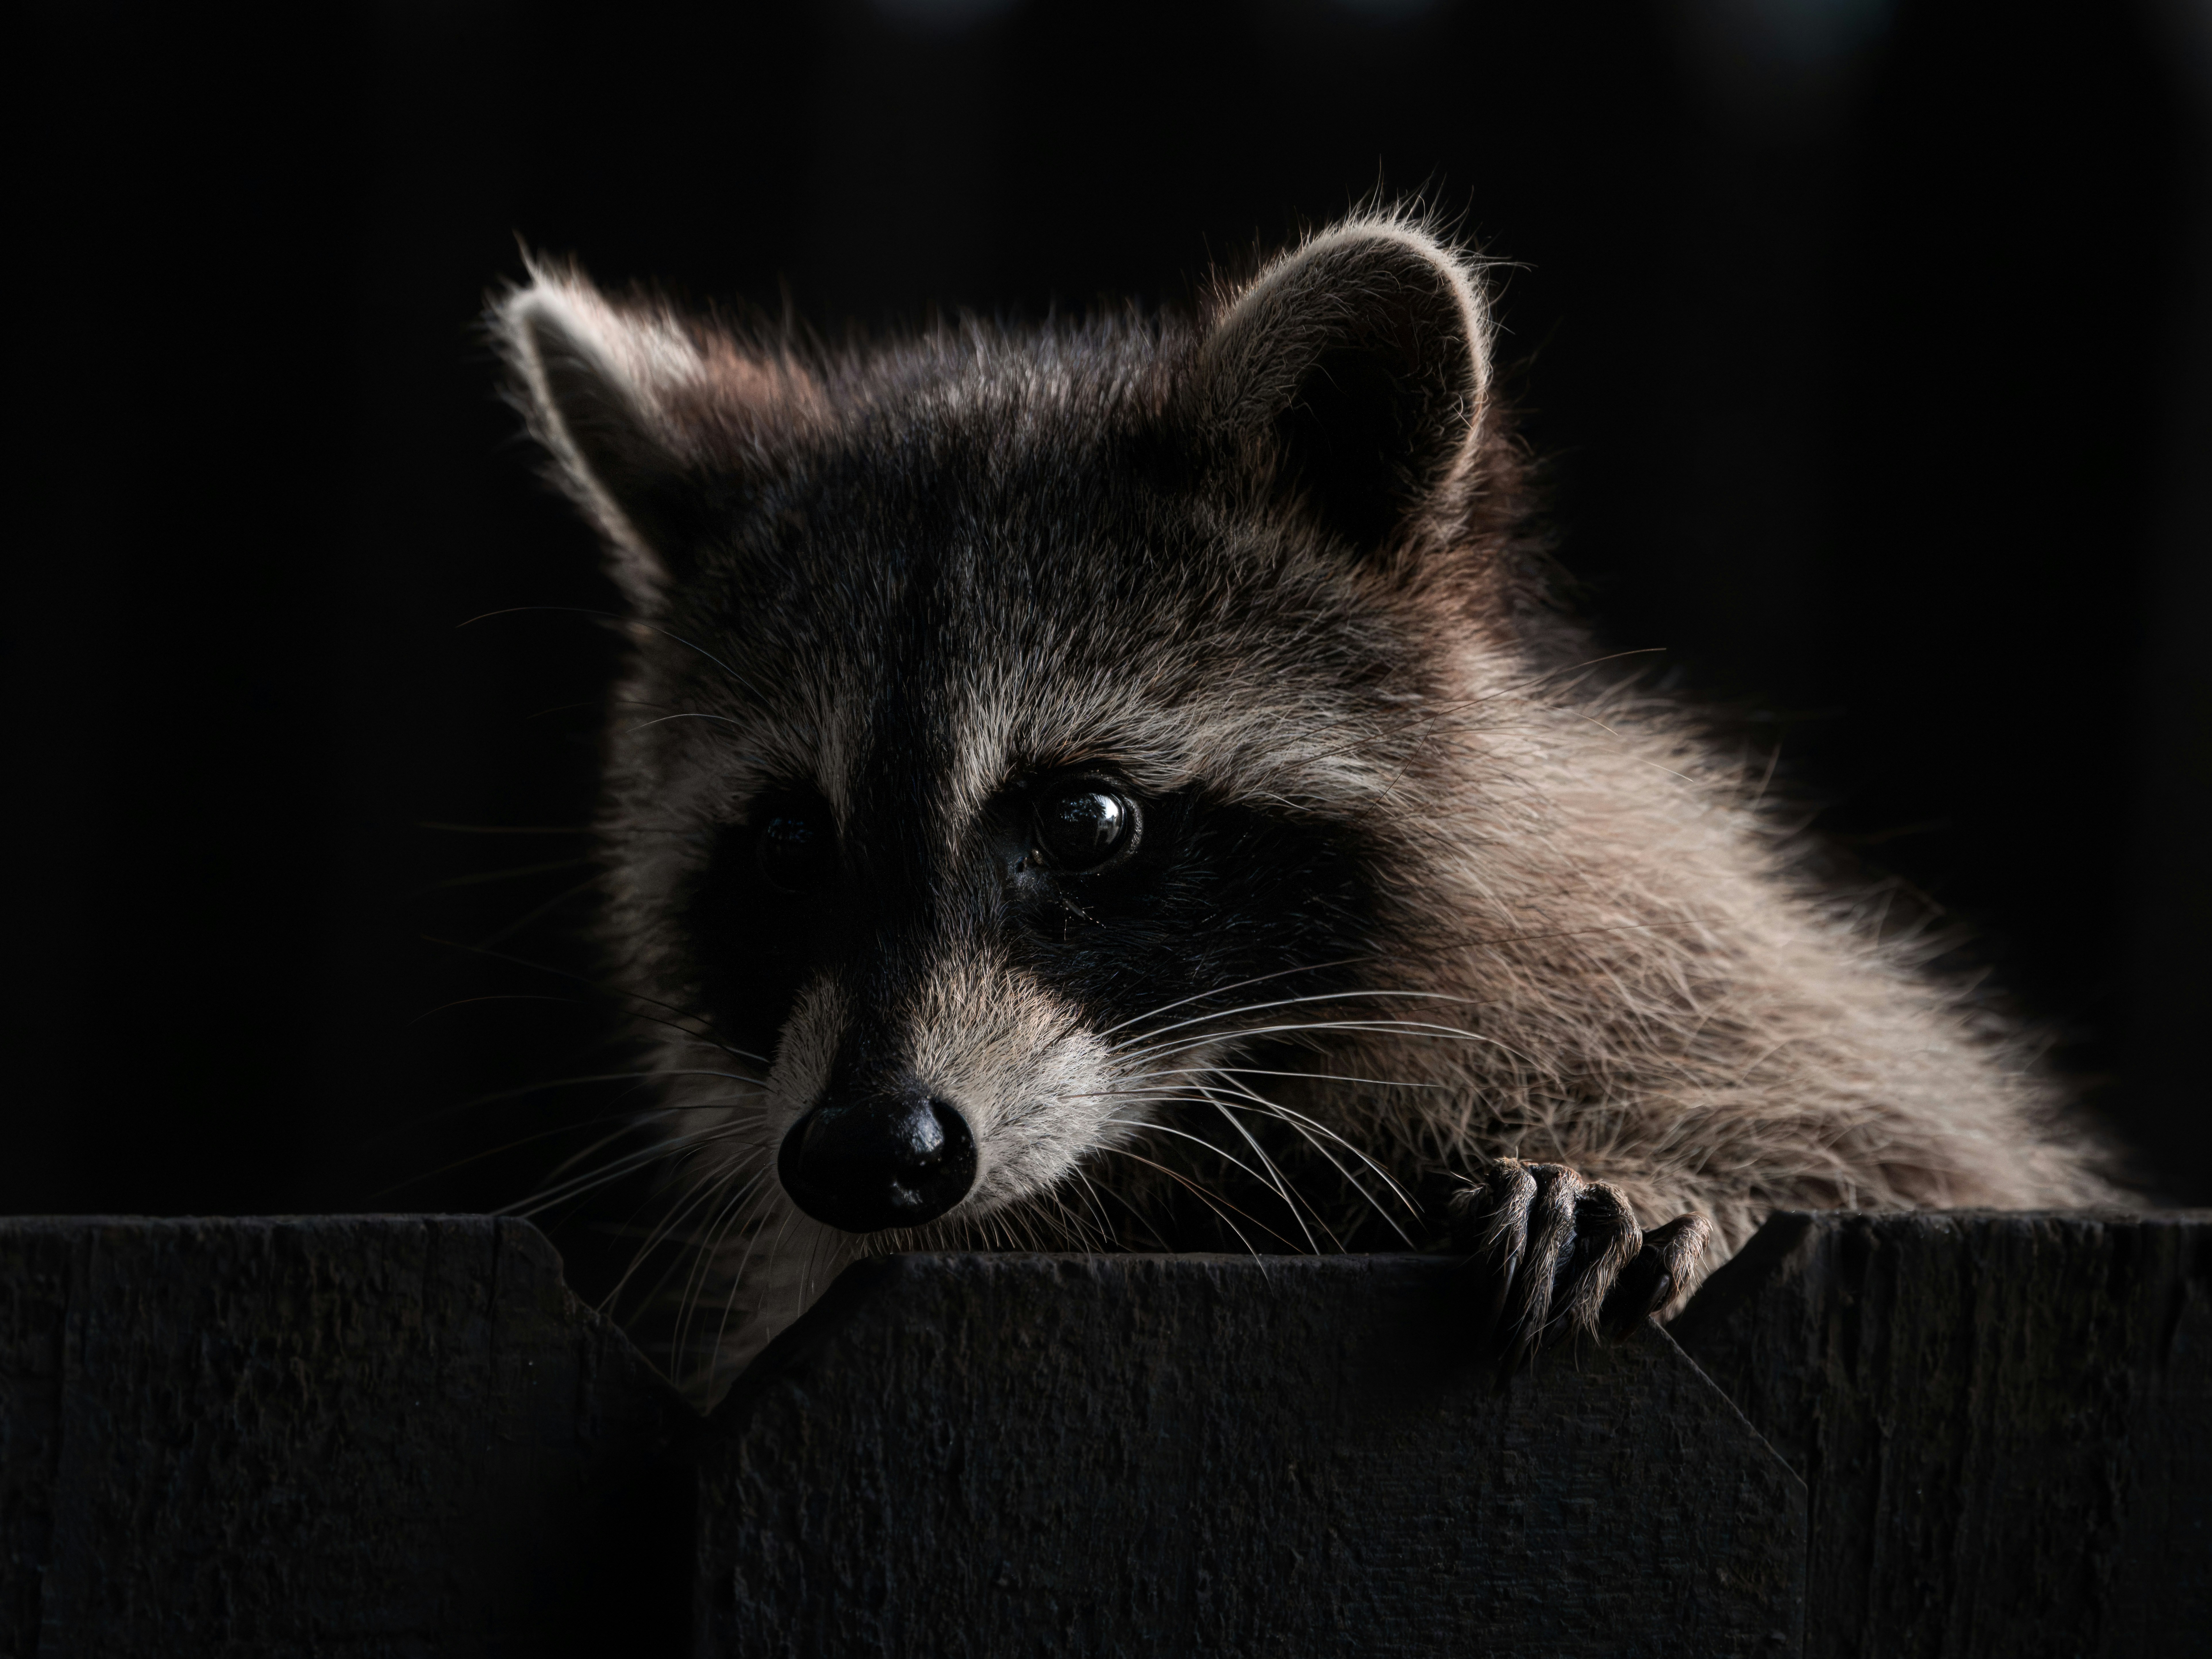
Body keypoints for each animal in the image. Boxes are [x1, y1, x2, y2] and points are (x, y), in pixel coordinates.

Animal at [492, 211, 2113, 1390]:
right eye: (785, 841)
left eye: (1087, 820)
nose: (870, 1152)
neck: (1198, 1114)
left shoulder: (1726, 990)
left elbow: (1902, 1146)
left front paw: (1675, 1181)